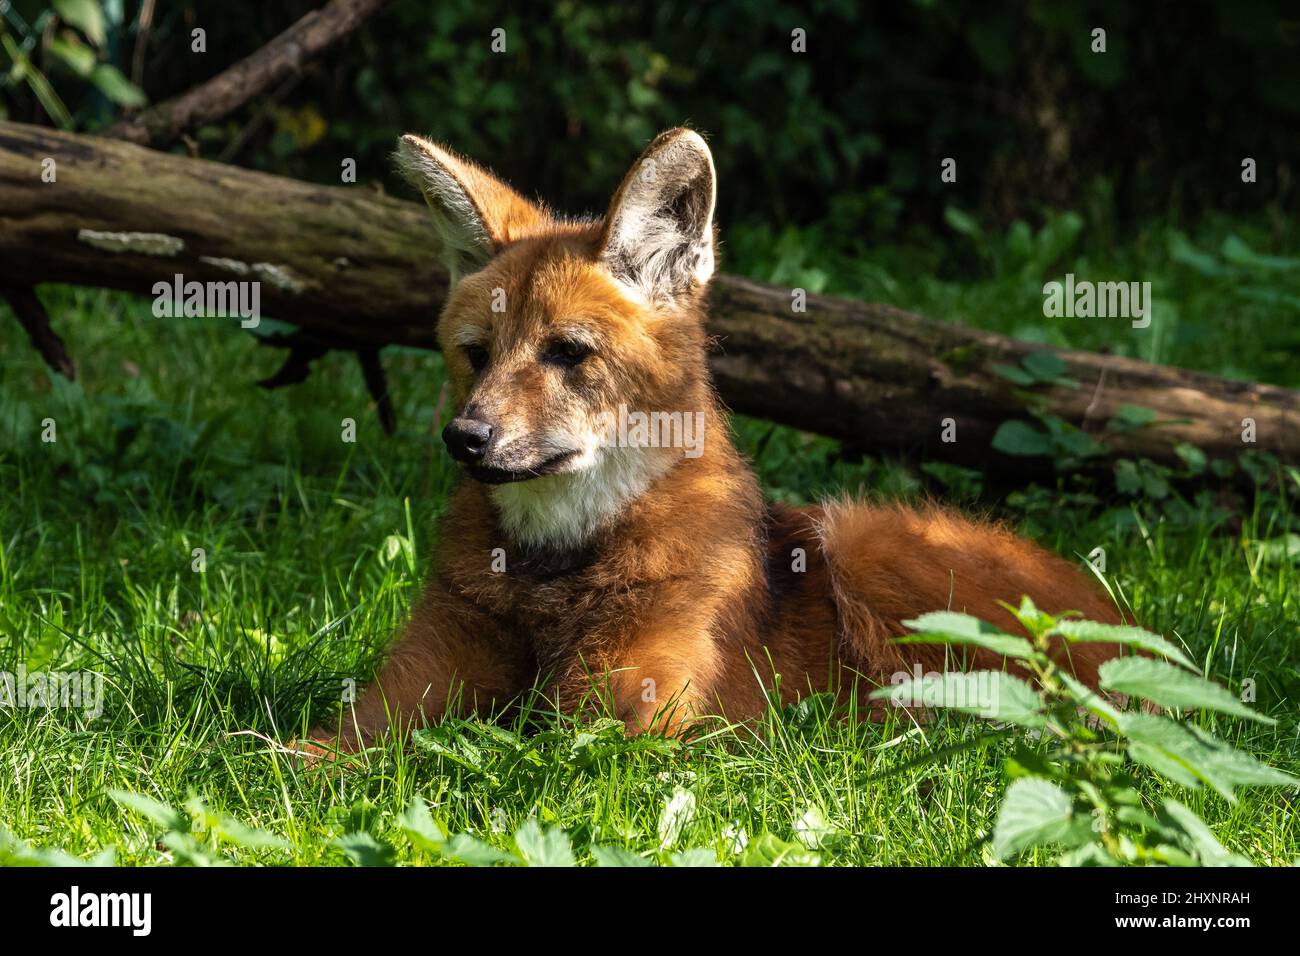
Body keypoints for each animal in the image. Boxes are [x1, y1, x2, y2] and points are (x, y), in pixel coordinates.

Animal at [306, 128, 1125, 752]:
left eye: (568, 352)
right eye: (476, 354)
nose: (466, 436)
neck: (552, 570)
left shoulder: (626, 725)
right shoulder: (411, 686)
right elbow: (319, 755)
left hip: (858, 534)